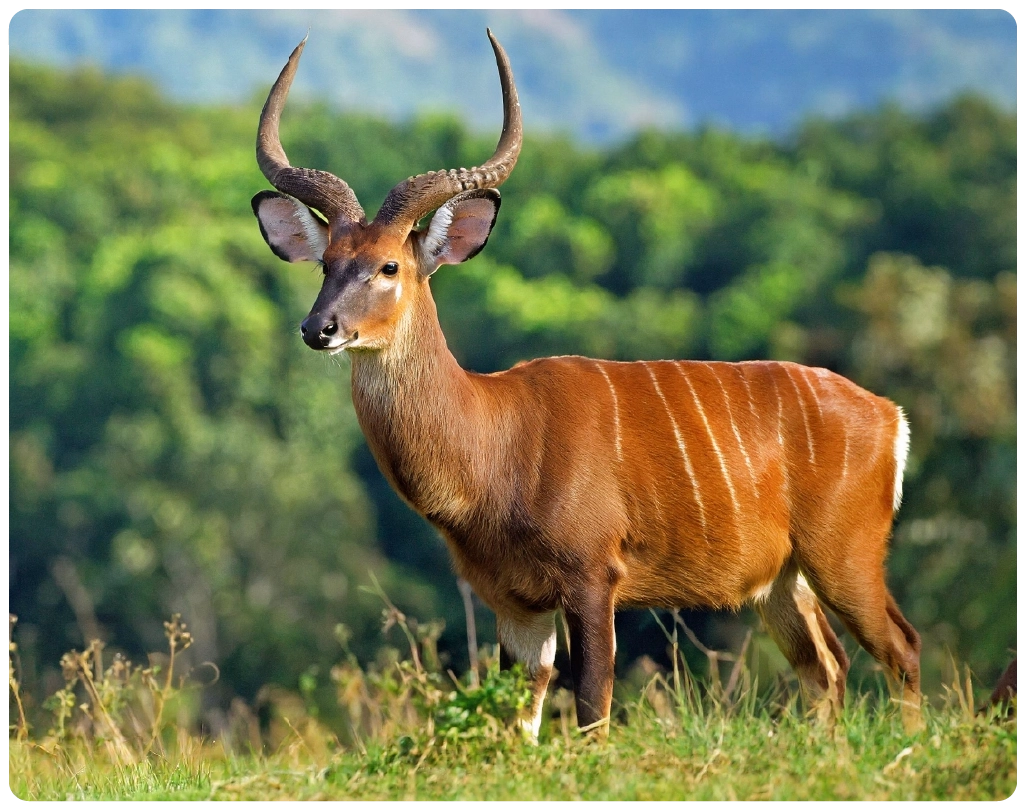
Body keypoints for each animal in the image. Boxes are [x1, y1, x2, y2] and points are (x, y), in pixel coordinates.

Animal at [251, 31, 924, 739]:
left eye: (389, 266)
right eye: (326, 262)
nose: (319, 328)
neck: (495, 447)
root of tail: (891, 417)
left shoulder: (594, 573)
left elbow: (592, 704)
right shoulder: (514, 601)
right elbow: (521, 713)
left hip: (844, 552)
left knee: (900, 645)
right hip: (782, 580)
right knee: (829, 666)